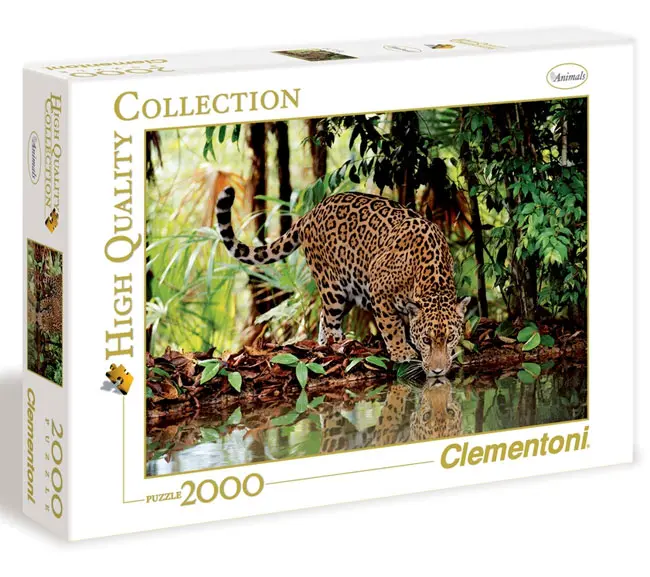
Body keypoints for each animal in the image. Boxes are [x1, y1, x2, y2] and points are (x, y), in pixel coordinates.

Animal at [217, 187, 470, 376]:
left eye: (450, 338)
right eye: (426, 340)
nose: (438, 371)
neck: (431, 280)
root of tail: (311, 213)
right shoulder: (379, 290)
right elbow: (391, 327)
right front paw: (402, 352)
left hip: (348, 290)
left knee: (322, 316)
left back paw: (323, 345)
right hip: (332, 286)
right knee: (330, 319)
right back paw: (336, 345)